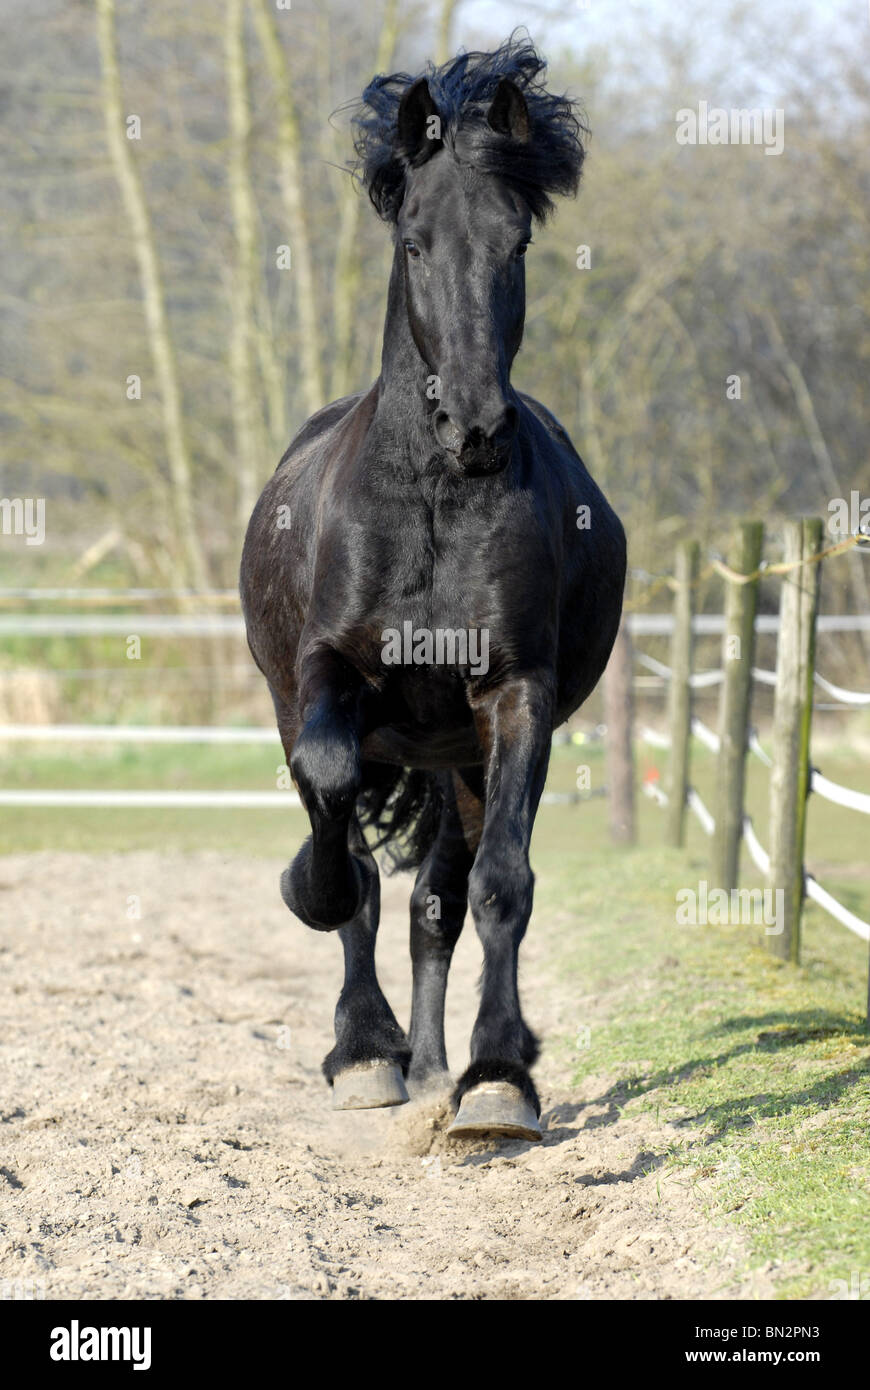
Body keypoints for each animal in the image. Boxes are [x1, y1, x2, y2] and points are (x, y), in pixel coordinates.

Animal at [240, 36, 626, 1141]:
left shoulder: (515, 696)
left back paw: (431, 1064)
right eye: (414, 241)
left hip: (456, 755)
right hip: (323, 711)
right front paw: (310, 895)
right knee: (375, 875)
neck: (431, 507)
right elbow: (336, 815)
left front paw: (499, 1081)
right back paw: (372, 1052)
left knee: (439, 903)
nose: (476, 425)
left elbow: (500, 886)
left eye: (516, 242)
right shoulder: (326, 679)